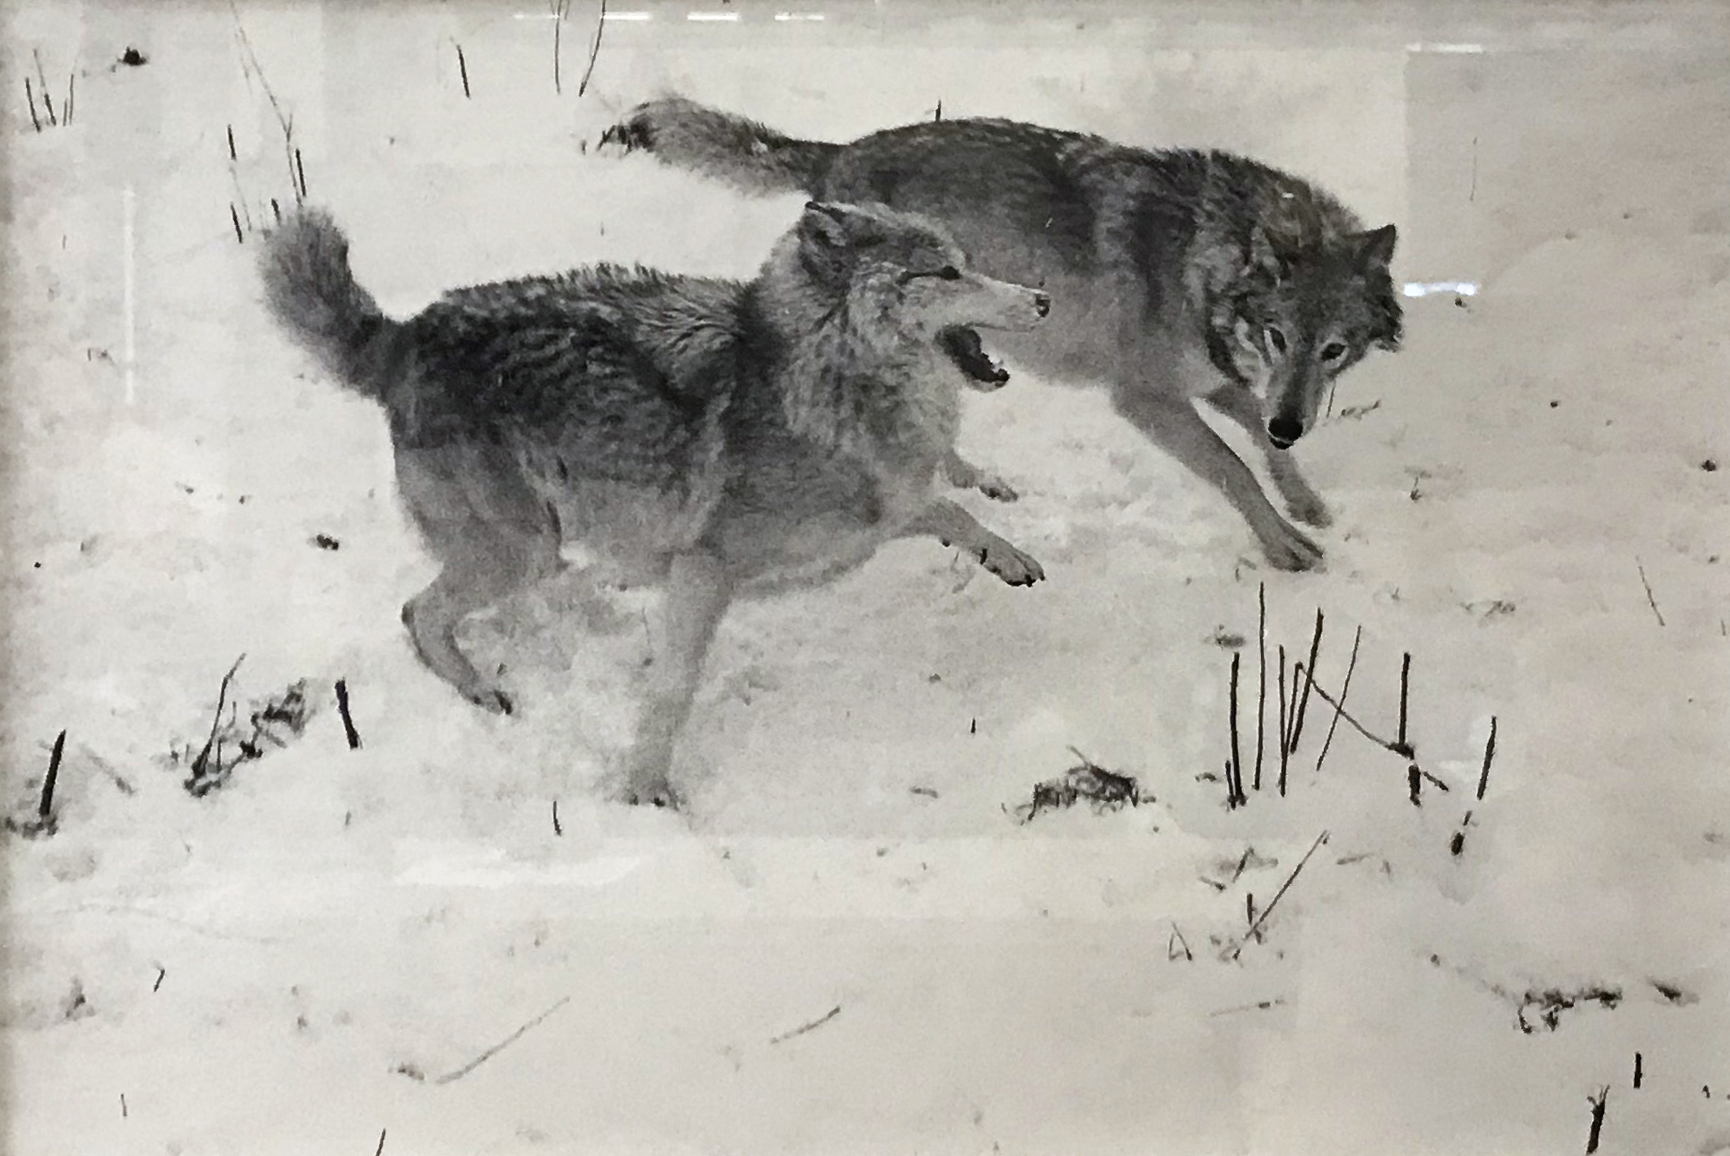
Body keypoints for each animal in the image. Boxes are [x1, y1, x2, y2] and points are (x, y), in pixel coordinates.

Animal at [258, 202, 1049, 805]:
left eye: (966, 262)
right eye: (944, 273)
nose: (1043, 299)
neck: (822, 382)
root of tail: (407, 333)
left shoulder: (880, 513)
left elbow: (949, 511)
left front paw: (1010, 558)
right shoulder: (704, 571)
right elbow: (672, 689)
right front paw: (644, 789)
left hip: (538, 546)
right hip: (522, 551)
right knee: (416, 612)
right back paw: (483, 692)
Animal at [601, 97, 1404, 571]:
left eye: (1333, 350)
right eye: (1277, 336)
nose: (1291, 423)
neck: (1204, 257)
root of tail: (837, 154)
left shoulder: (1217, 381)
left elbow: (1259, 441)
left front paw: (1305, 502)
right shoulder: (1146, 399)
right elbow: (1234, 468)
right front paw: (1284, 545)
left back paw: (976, 478)